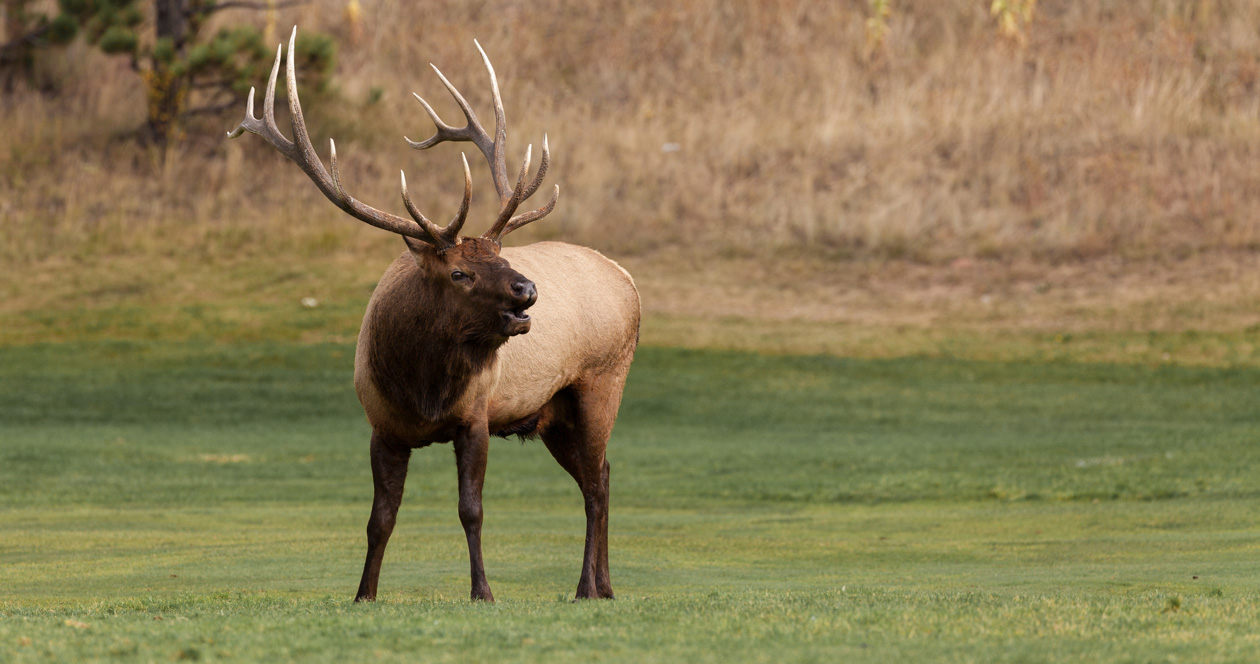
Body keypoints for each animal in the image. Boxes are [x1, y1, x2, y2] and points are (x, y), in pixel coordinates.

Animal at [228, 28, 639, 602]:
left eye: (500, 256)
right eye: (460, 273)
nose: (528, 290)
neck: (420, 387)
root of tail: (627, 279)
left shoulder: (475, 416)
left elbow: (472, 510)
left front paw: (483, 592)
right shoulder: (381, 426)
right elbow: (379, 519)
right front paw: (364, 594)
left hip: (602, 381)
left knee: (597, 483)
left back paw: (585, 588)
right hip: (553, 413)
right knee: (599, 474)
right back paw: (604, 586)